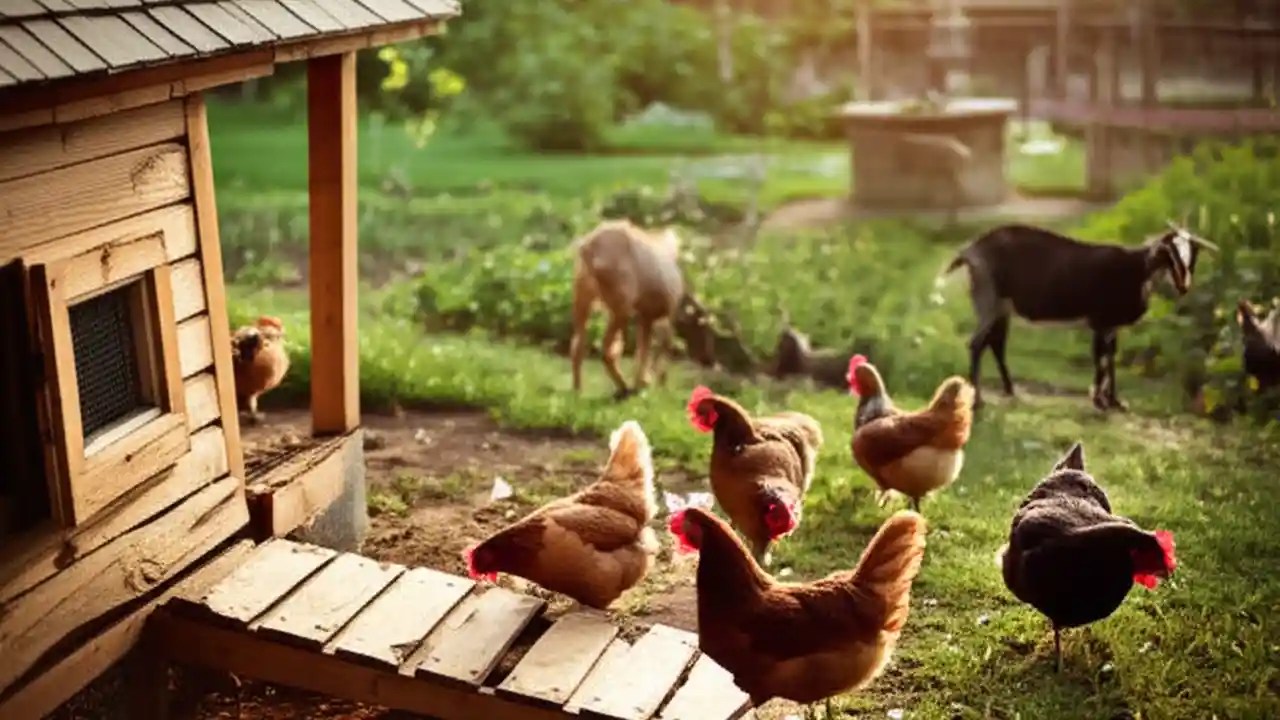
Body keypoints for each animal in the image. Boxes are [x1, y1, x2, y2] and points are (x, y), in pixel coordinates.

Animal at [570, 219, 715, 399]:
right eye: (705, 327)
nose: (709, 360)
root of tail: (588, 248)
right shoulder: (666, 313)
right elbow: (662, 346)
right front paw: (654, 383)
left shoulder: (646, 315)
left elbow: (643, 348)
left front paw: (644, 382)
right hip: (621, 306)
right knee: (608, 350)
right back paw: (623, 388)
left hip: (583, 297)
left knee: (578, 346)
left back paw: (578, 391)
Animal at [941, 221, 1218, 411]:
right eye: (1170, 254)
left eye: (1192, 254)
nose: (1184, 286)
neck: (1137, 270)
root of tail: (970, 250)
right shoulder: (1100, 320)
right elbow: (1100, 359)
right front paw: (1099, 400)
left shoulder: (1111, 325)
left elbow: (1110, 357)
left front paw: (1114, 401)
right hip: (988, 298)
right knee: (977, 343)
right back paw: (978, 400)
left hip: (1001, 306)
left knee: (995, 343)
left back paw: (1009, 390)